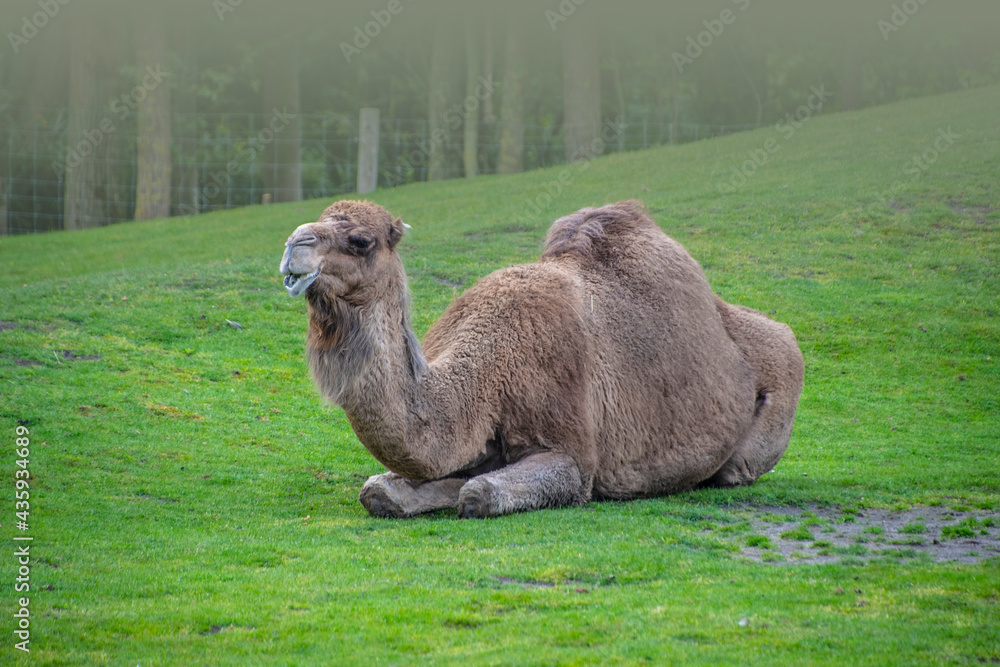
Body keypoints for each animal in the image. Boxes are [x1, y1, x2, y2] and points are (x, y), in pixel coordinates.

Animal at [280, 200, 804, 518]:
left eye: (361, 241)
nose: (293, 245)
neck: (483, 373)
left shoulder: (573, 453)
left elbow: (479, 493)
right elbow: (381, 491)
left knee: (734, 466)